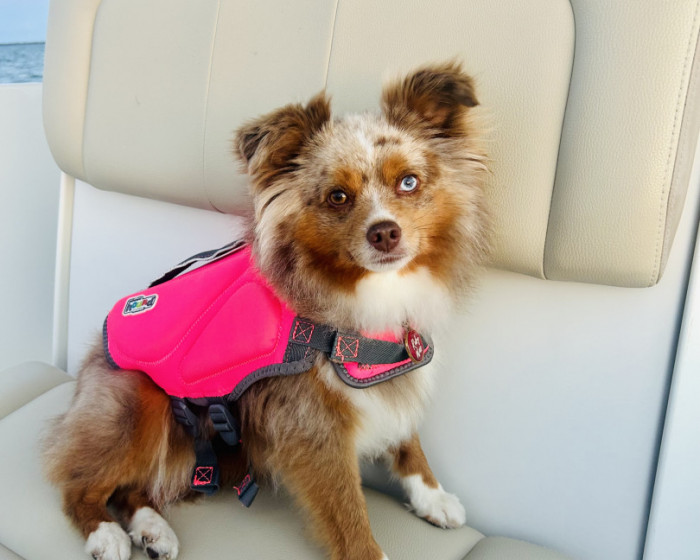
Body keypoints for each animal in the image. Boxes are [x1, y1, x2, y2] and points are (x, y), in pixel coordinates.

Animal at [42, 61, 489, 560]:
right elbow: (349, 511)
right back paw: (108, 534)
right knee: (80, 483)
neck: (363, 294)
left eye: (408, 182)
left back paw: (153, 529)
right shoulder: (311, 427)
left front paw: (432, 495)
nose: (385, 233)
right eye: (337, 197)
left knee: (134, 488)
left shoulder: (389, 372)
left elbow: (407, 434)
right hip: (139, 401)